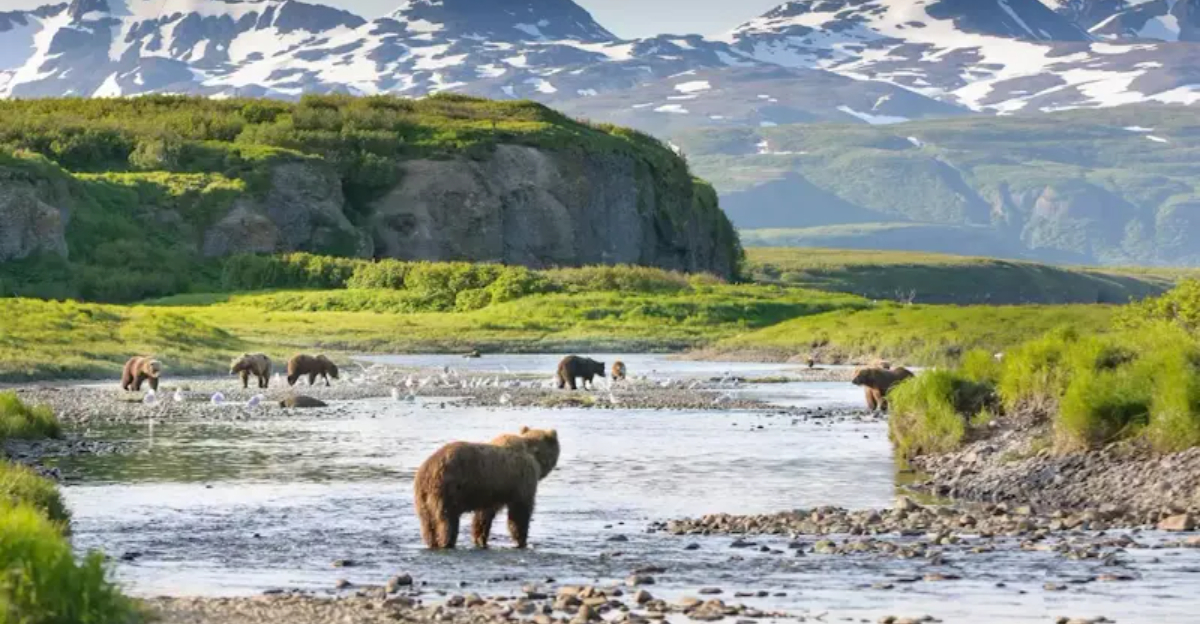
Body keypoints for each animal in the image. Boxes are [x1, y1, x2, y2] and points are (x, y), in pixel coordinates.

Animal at [413, 426, 560, 550]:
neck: (534, 456)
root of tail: (428, 470)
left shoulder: (491, 492)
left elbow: (484, 516)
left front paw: (481, 540)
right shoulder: (521, 481)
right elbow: (520, 512)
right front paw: (522, 541)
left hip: (422, 497)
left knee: (427, 523)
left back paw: (432, 542)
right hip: (448, 489)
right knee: (447, 520)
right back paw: (447, 542)